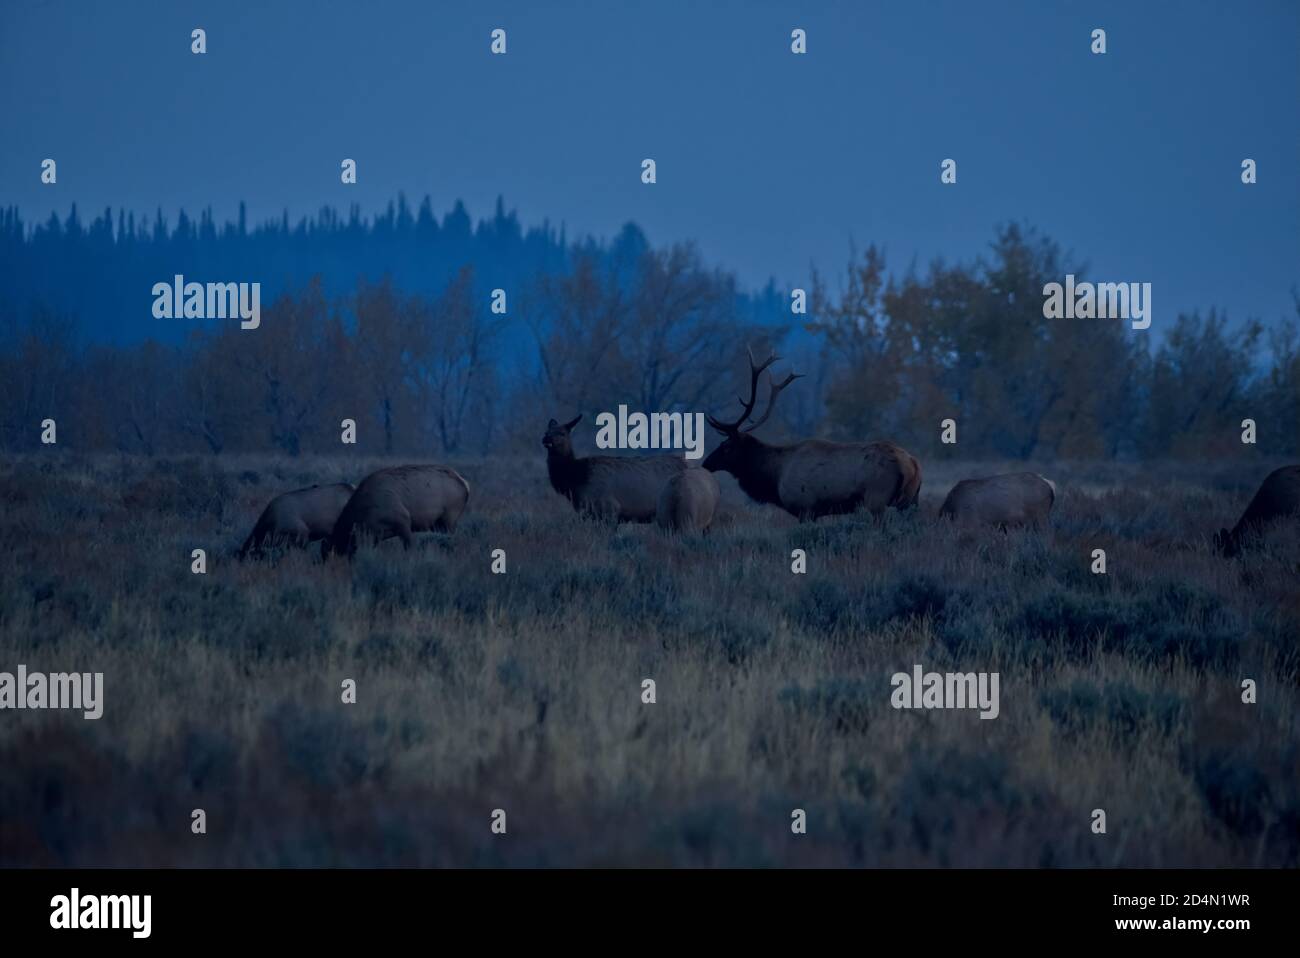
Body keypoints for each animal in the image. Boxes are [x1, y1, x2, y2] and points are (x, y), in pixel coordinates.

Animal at [324, 465, 470, 558]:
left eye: (335, 548)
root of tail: (465, 485)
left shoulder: (403, 519)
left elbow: (410, 547)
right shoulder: (375, 535)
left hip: (449, 519)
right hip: (438, 524)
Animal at [701, 348, 921, 521]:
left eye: (726, 446)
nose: (706, 463)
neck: (775, 475)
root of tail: (912, 465)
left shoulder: (804, 507)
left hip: (877, 498)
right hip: (910, 501)